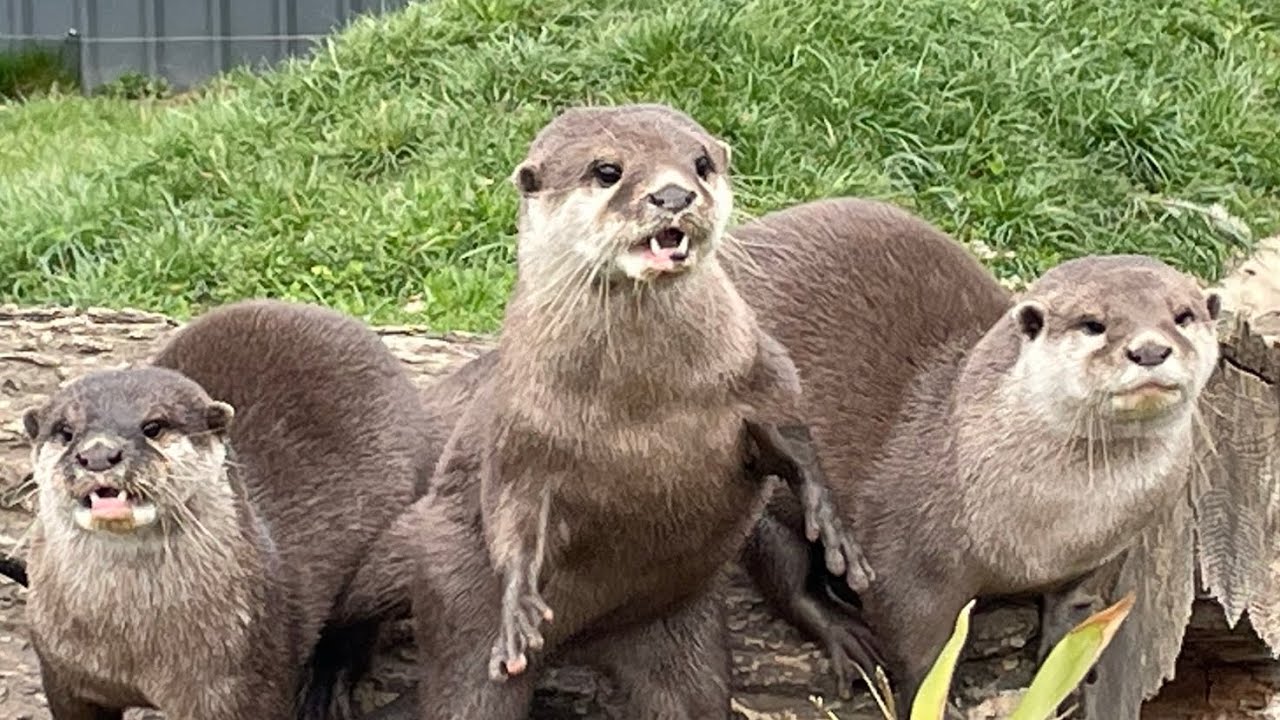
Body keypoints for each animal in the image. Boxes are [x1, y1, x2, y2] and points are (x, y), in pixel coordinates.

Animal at [22, 299, 434, 720]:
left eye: (154, 426)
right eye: (65, 431)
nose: (99, 454)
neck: (131, 648)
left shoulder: (243, 681)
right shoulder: (62, 670)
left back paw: (324, 689)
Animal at [354, 103, 867, 720]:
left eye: (701, 162)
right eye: (607, 171)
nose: (673, 194)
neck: (646, 402)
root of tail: (580, 640)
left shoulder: (759, 366)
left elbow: (792, 435)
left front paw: (830, 524)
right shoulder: (519, 425)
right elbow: (510, 507)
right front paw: (519, 598)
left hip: (676, 628)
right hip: (451, 595)